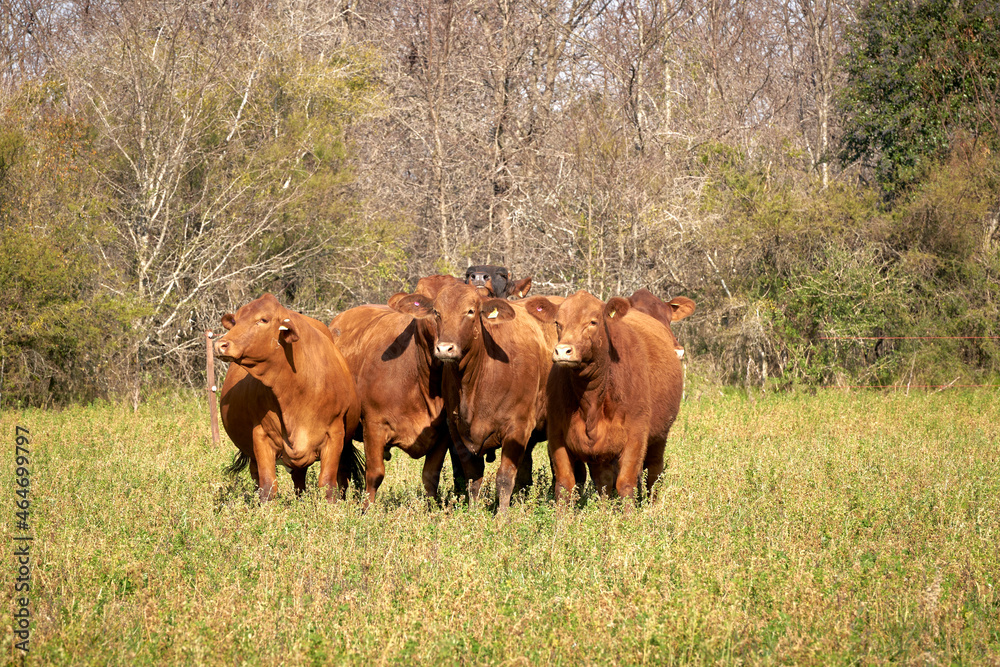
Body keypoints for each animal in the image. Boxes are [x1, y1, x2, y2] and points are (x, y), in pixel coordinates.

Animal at [214, 293, 363, 502]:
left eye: (263, 319)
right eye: (235, 320)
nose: (221, 345)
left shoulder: (335, 435)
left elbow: (328, 484)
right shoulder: (261, 435)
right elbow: (267, 486)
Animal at [329, 304, 454, 506]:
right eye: (434, 312)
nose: (445, 348)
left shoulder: (443, 432)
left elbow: (431, 475)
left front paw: (432, 509)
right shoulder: (374, 426)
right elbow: (374, 474)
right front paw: (366, 509)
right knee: (343, 470)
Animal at [397, 281, 555, 511]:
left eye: (470, 311)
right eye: (437, 312)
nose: (444, 348)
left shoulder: (517, 427)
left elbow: (504, 477)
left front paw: (502, 515)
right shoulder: (457, 431)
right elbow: (473, 478)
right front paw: (472, 512)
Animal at [524, 290, 684, 504]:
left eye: (593, 322)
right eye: (557, 323)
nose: (563, 351)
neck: (591, 397)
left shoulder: (636, 436)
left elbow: (625, 483)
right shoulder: (557, 434)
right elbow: (565, 485)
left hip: (659, 436)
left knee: (654, 472)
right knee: (604, 482)